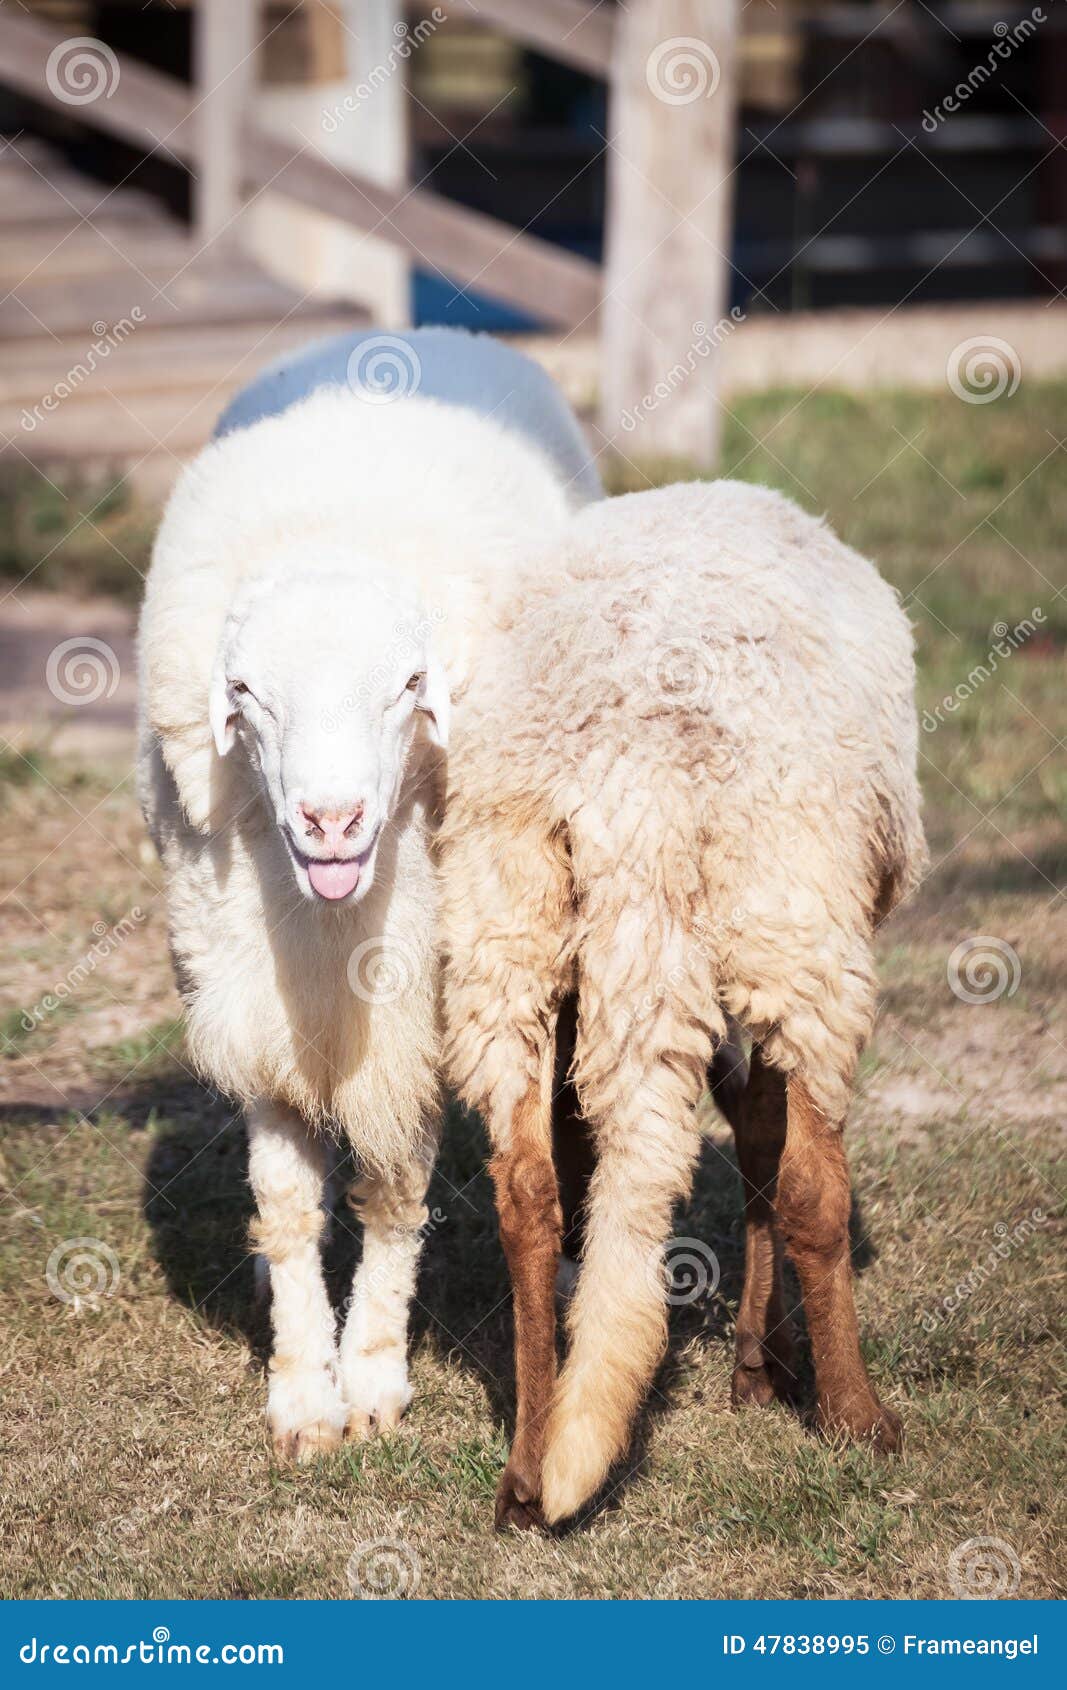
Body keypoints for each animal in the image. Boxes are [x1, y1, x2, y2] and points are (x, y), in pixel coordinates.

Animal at [138, 328, 599, 1461]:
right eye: (245, 693)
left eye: (406, 686)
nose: (332, 820)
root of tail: (412, 334)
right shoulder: (255, 1002)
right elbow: (287, 1202)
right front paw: (305, 1388)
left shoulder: (419, 1011)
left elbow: (392, 1195)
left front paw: (375, 1374)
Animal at [439, 477, 927, 1528]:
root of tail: (630, 767)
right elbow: (781, 1158)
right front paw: (796, 1385)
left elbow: (726, 1132)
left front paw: (759, 1364)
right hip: (790, 914)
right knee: (808, 1183)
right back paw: (857, 1415)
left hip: (509, 921)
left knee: (527, 1190)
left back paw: (529, 1469)